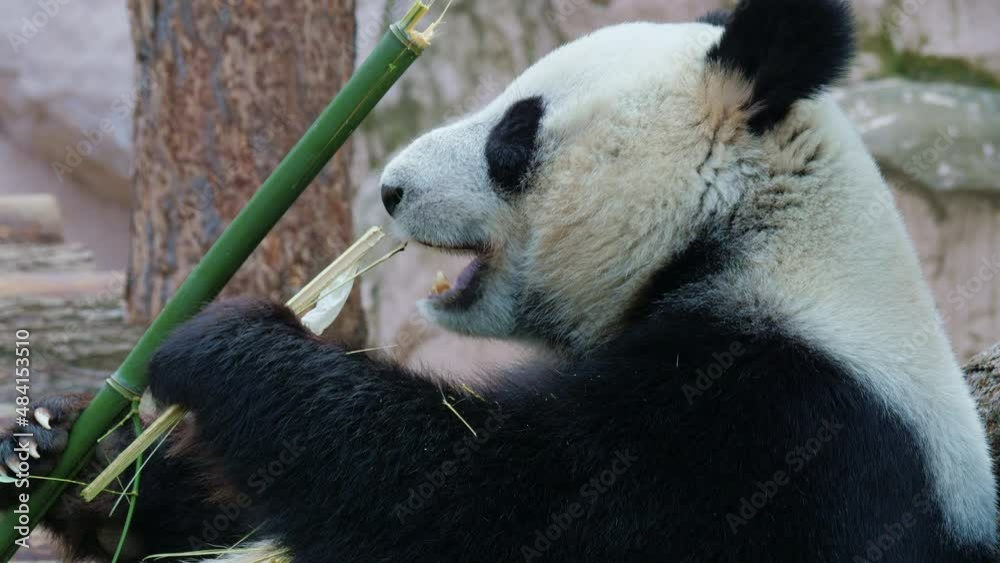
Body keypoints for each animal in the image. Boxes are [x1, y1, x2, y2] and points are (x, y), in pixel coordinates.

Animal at [1, 0, 996, 561]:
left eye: (512, 137)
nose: (390, 187)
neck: (748, 237)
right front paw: (75, 454)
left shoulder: (778, 425)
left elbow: (495, 501)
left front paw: (225, 346)